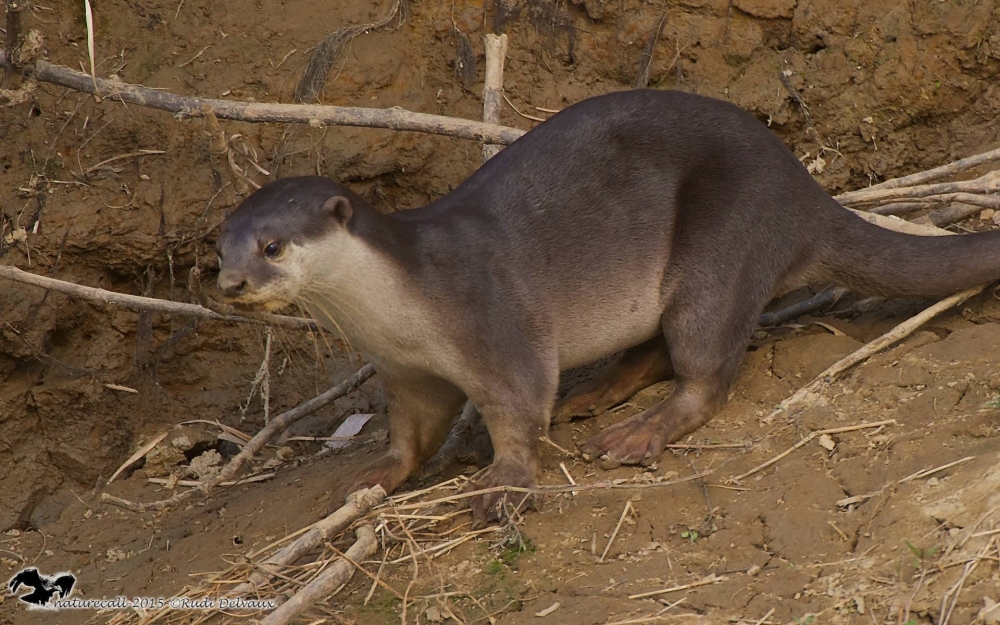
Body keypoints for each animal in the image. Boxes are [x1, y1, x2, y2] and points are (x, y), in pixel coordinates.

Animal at [216, 89, 1000, 524]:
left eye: (273, 246)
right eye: (219, 249)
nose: (232, 285)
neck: (404, 303)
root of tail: (803, 188)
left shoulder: (493, 323)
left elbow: (518, 407)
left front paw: (505, 485)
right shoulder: (406, 371)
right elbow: (412, 433)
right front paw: (375, 475)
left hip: (727, 234)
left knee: (706, 368)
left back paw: (637, 433)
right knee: (655, 351)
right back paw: (598, 395)